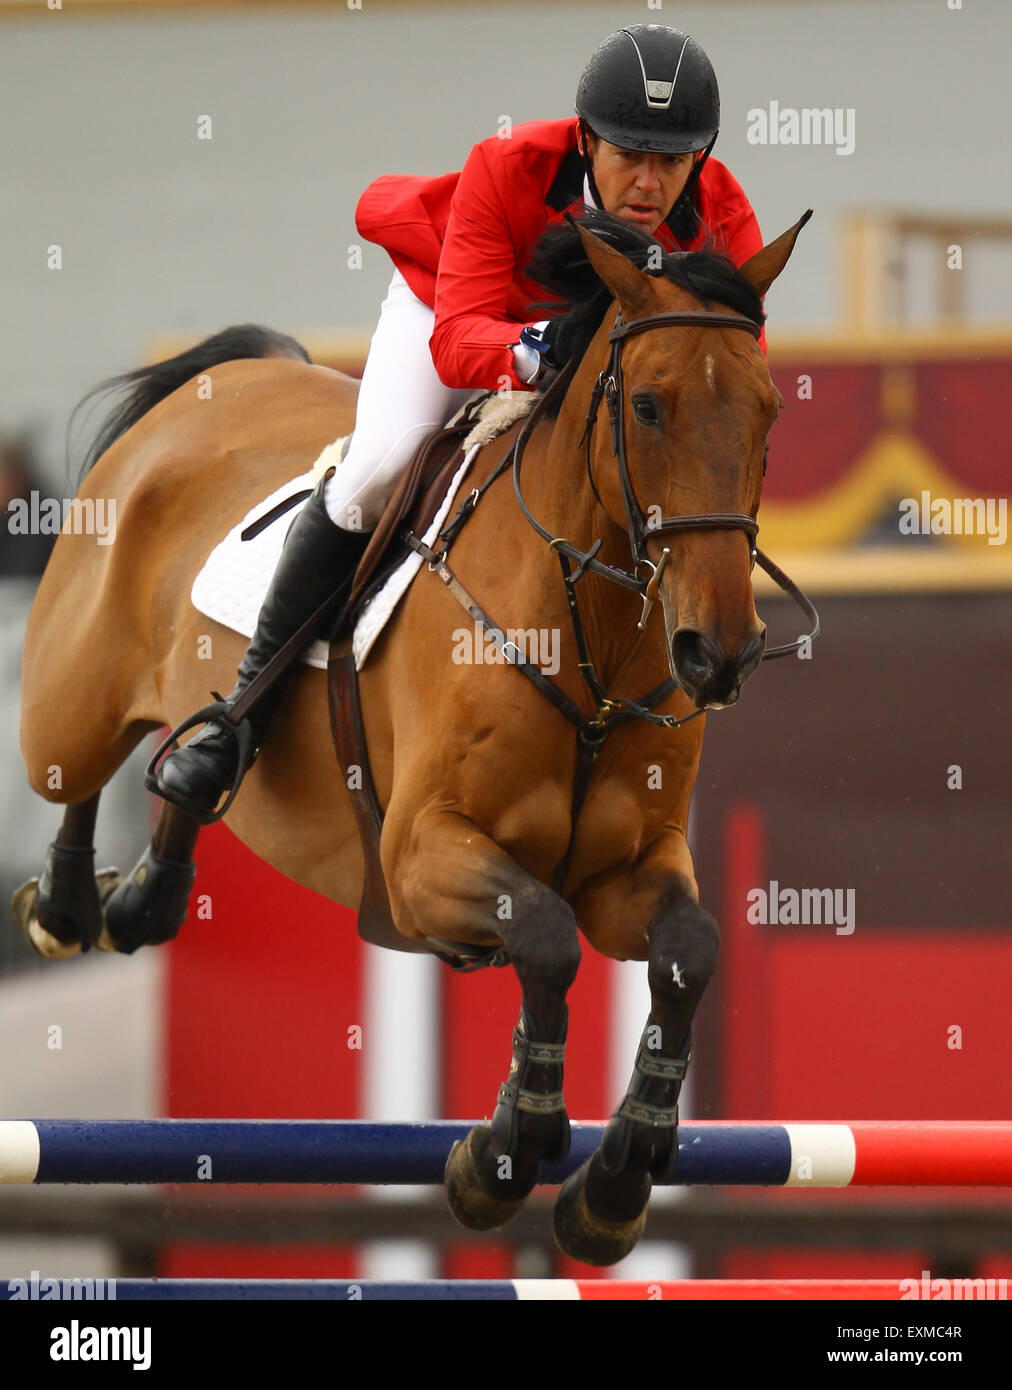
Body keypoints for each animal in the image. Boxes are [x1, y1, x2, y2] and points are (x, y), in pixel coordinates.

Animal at [12, 209, 813, 1264]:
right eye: (646, 406)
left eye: (769, 414)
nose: (719, 653)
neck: (588, 631)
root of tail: (219, 385)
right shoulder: (422, 857)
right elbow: (547, 939)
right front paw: (506, 1151)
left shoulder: (627, 870)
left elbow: (689, 950)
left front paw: (614, 1181)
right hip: (69, 697)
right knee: (72, 770)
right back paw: (66, 905)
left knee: (189, 774)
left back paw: (152, 882)